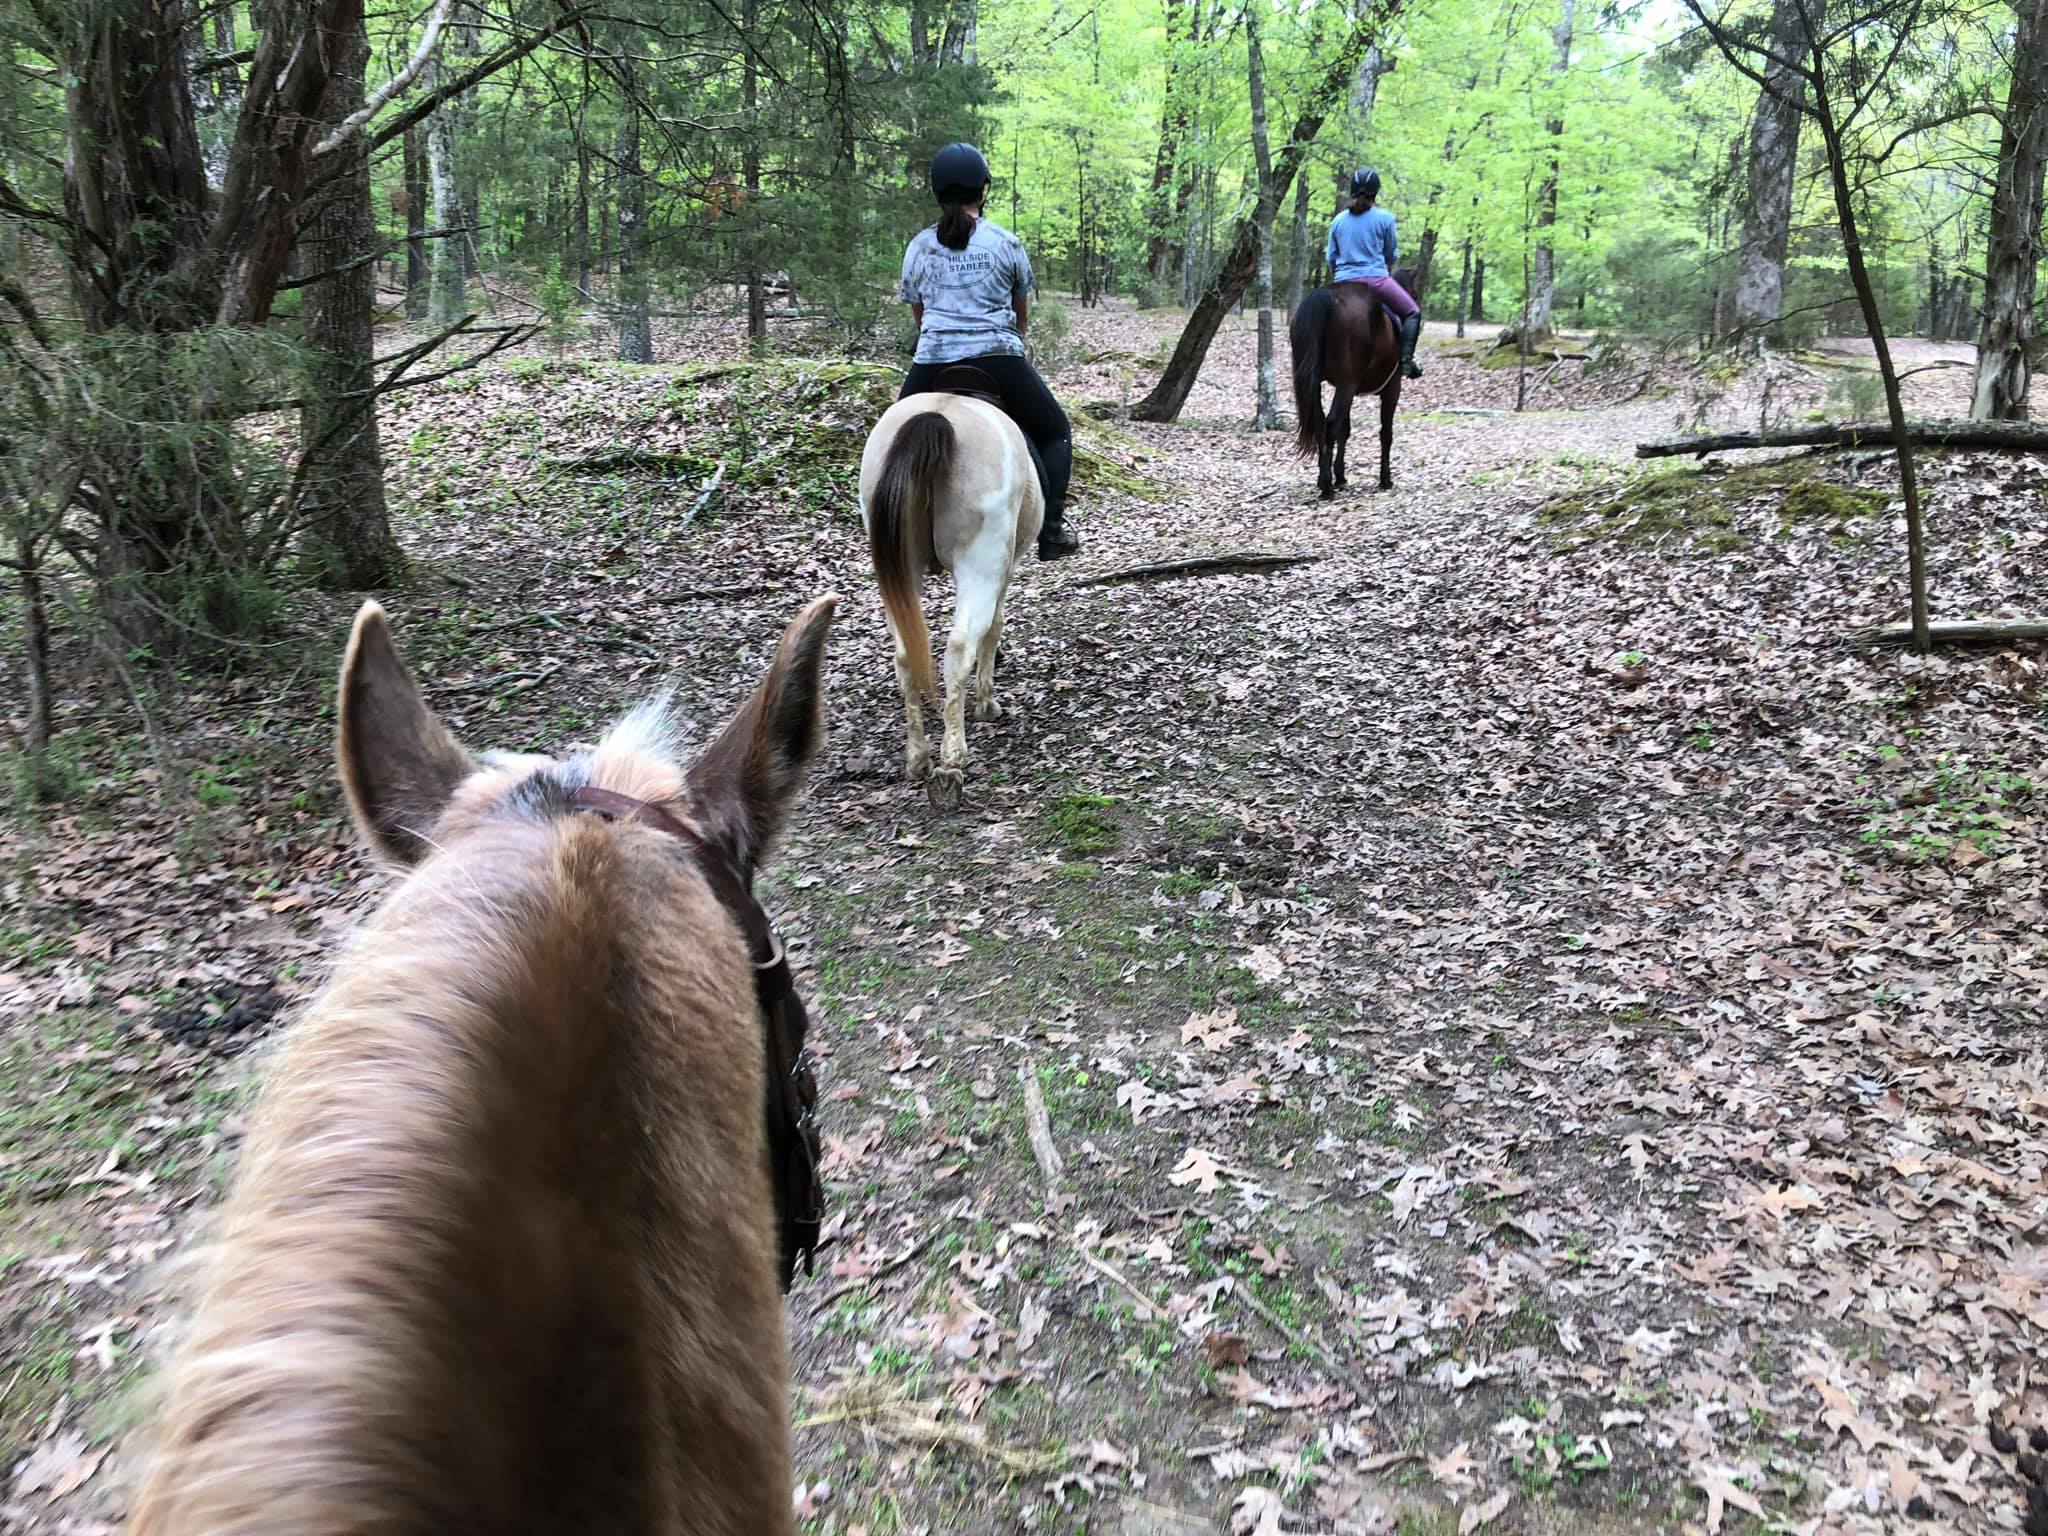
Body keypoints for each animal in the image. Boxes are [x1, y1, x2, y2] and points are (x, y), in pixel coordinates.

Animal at [860, 379, 1042, 811]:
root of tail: (938, 414)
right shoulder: (1004, 571)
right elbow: (994, 629)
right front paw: (986, 702)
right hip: (980, 565)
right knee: (960, 646)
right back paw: (951, 759)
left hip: (902, 571)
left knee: (906, 655)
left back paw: (919, 758)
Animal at [1288, 266, 1418, 499]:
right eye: (1414, 294)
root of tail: (1326, 295)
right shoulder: (1391, 388)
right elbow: (1386, 433)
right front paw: (1385, 479)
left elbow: (1345, 430)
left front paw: (1340, 476)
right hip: (1347, 384)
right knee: (1330, 424)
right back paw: (1326, 487)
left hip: (1321, 382)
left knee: (1322, 422)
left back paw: (1324, 480)